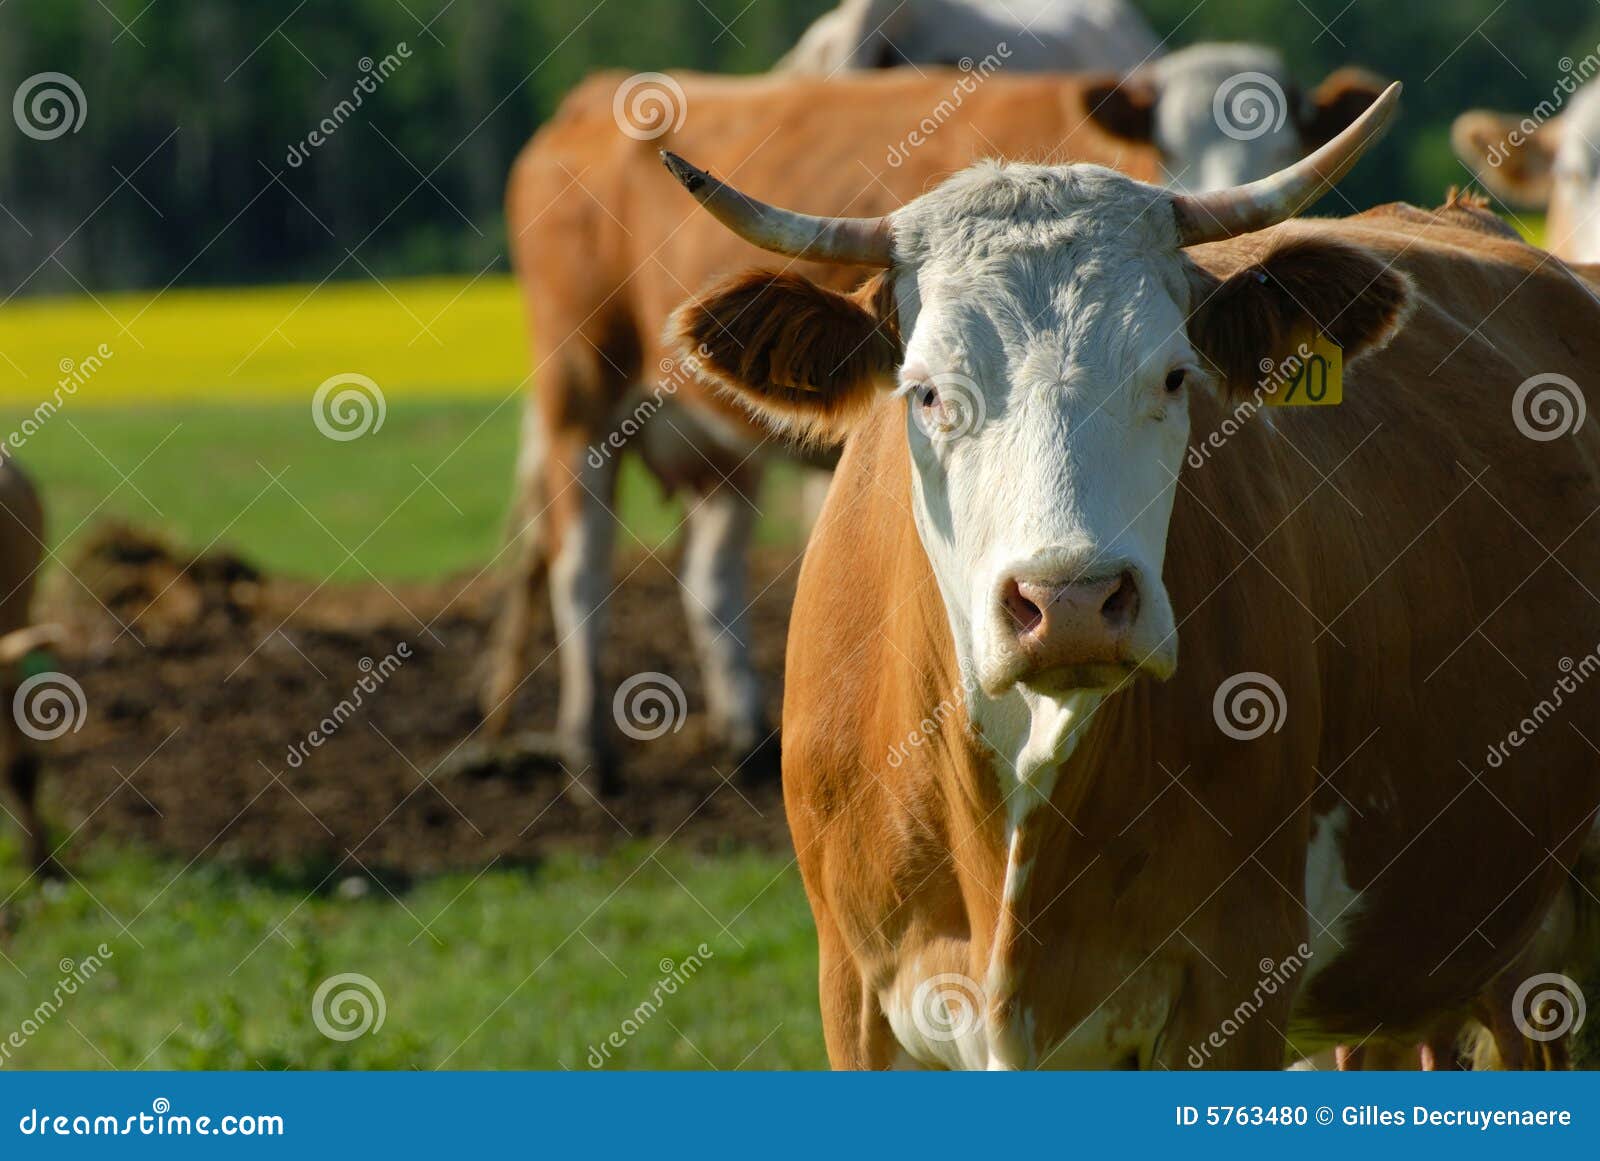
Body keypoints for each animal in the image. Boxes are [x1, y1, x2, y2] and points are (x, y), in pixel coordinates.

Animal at [473, 57, 1386, 800]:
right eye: (927, 393)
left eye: (1173, 373)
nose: (1071, 603)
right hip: (580, 399)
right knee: (581, 564)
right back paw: (588, 752)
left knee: (710, 570)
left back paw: (743, 739)